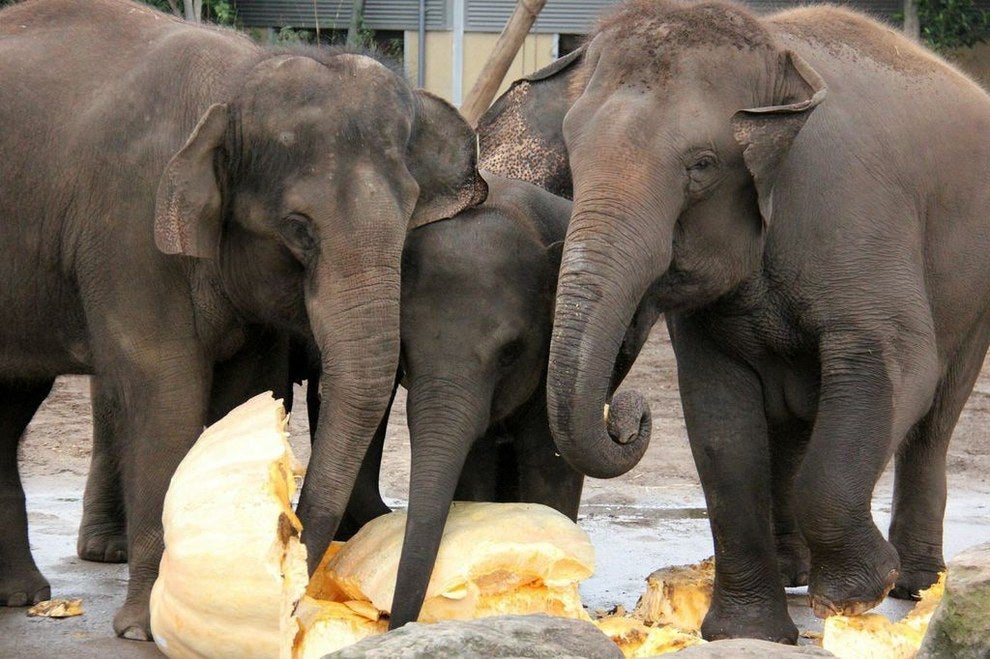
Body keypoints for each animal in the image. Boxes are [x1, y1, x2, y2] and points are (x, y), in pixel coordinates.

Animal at [0, 0, 483, 640]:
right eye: (299, 230)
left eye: (409, 219)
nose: (293, 593)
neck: (237, 82)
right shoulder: (129, 232)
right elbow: (168, 392)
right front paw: (145, 629)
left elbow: (248, 393)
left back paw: (19, 594)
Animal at [536, 0, 990, 644]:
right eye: (572, 156)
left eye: (702, 165)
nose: (627, 415)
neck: (777, 64)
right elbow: (721, 423)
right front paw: (745, 633)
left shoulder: (855, 216)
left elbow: (895, 363)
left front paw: (855, 593)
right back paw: (797, 570)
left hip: (974, 287)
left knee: (935, 416)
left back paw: (915, 585)